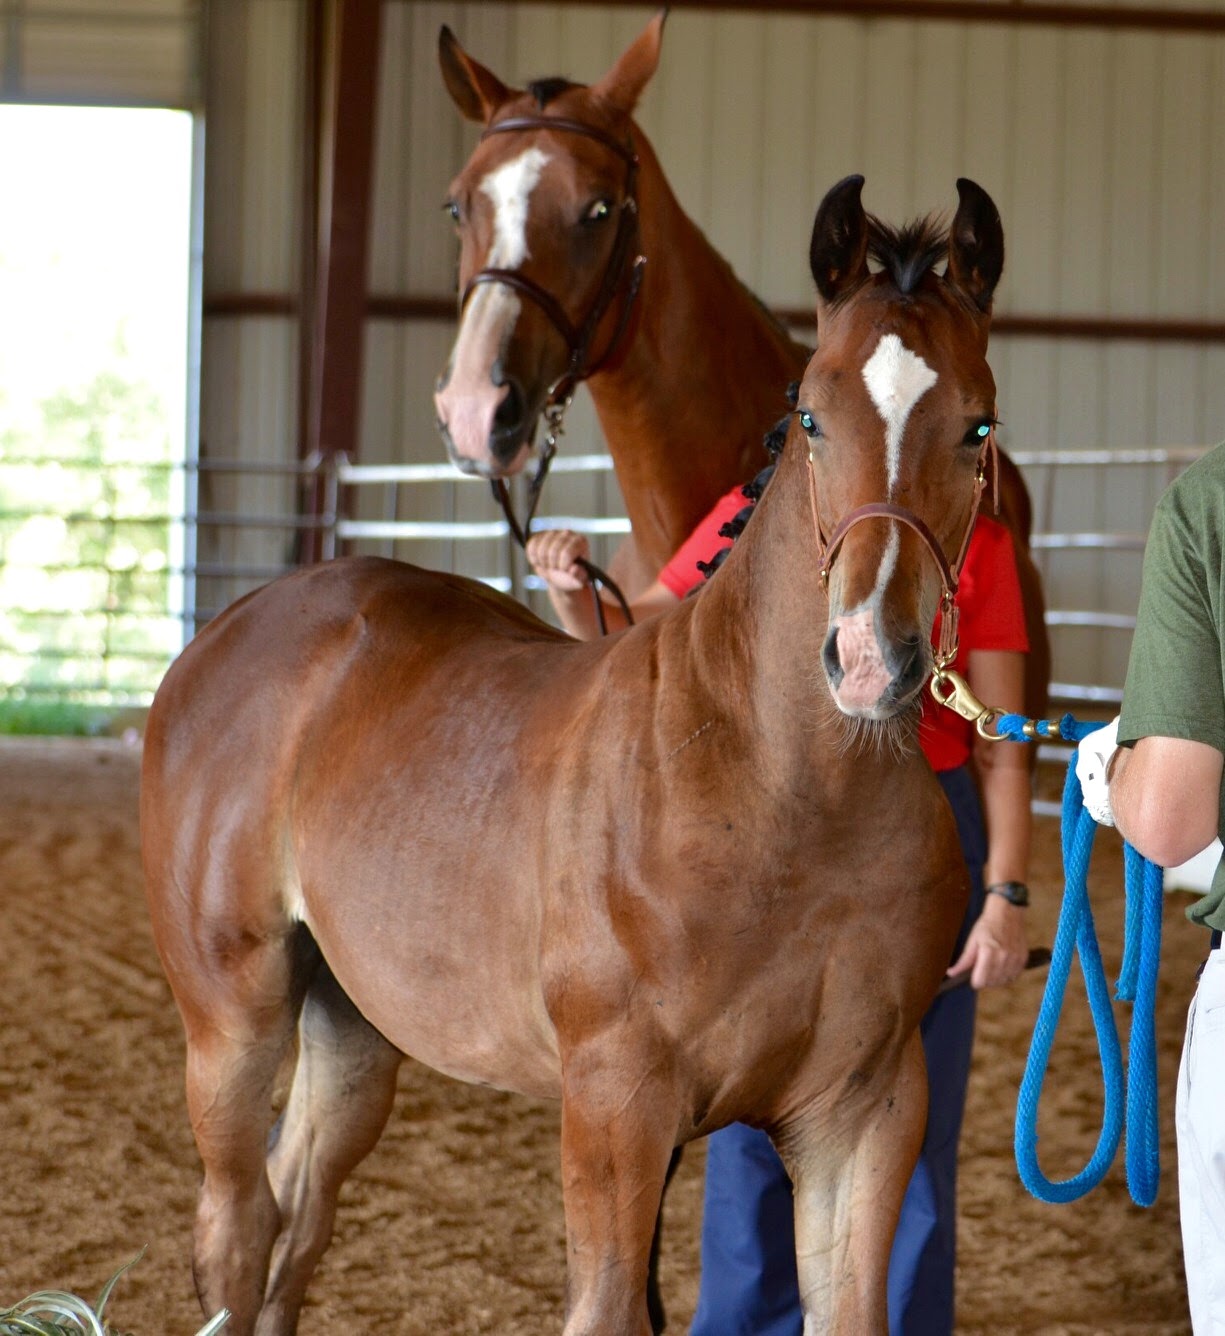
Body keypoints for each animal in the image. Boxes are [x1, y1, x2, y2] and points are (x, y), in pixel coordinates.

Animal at [142, 173, 1004, 1335]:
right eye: (812, 416)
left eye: (976, 425)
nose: (870, 655)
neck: (773, 788)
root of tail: (231, 635)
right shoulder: (615, 1105)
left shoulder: (862, 1114)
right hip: (232, 1018)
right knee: (237, 1231)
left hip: (354, 1029)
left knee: (298, 1214)